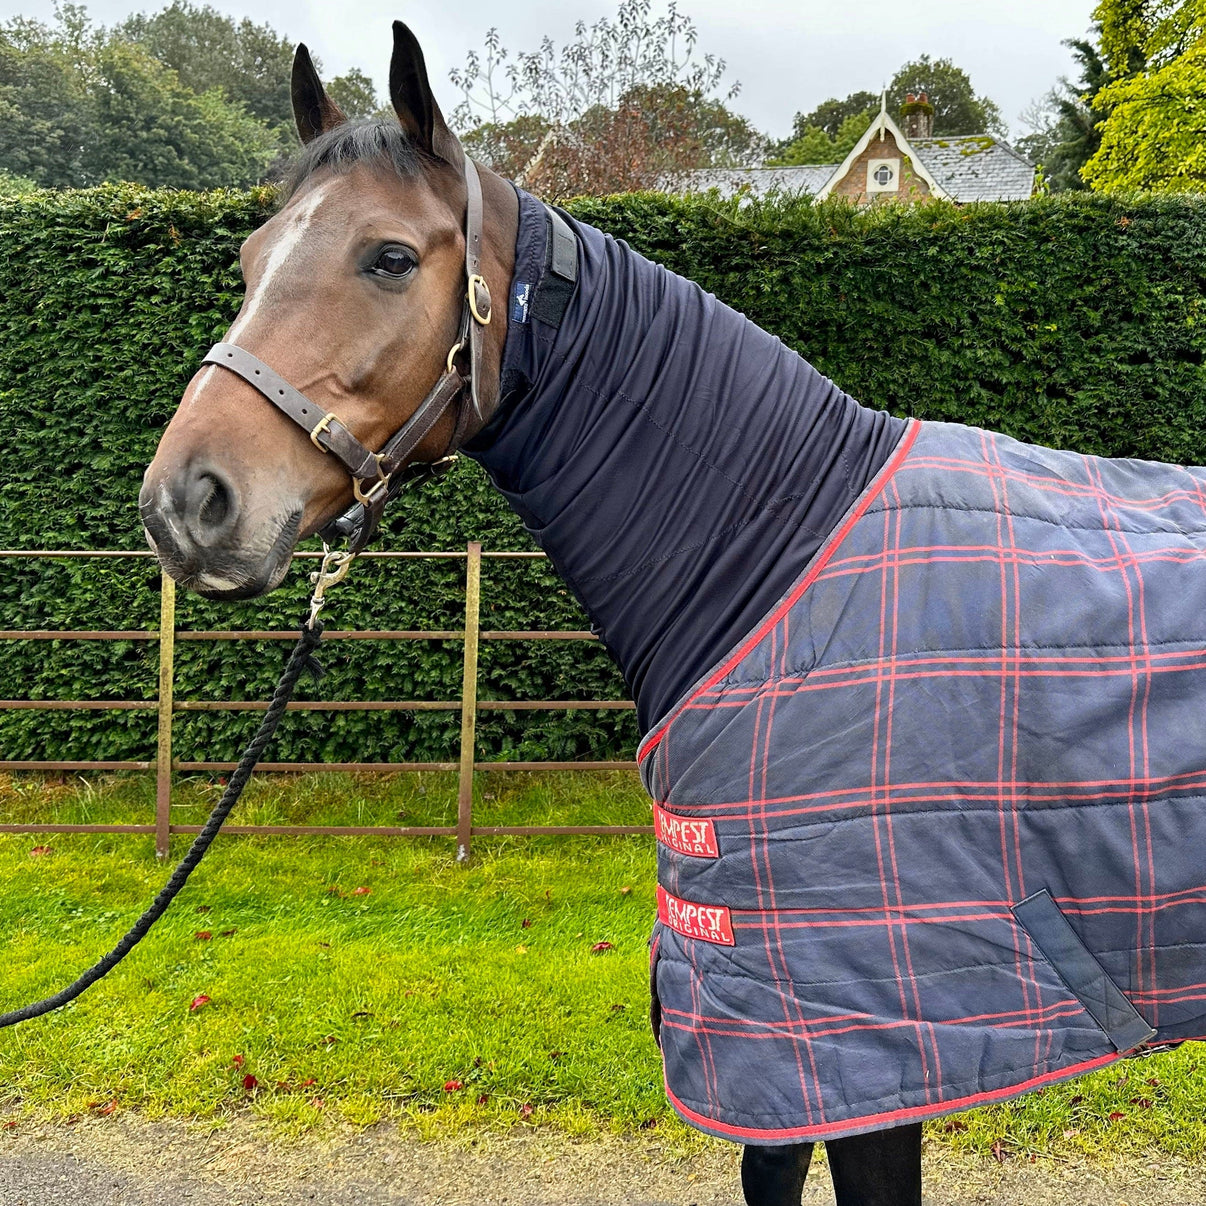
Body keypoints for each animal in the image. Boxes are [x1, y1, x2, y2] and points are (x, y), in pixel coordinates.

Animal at [140, 22, 1206, 1206]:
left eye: (390, 257)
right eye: (249, 260)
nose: (186, 502)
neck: (774, 565)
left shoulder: (864, 1042)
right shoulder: (780, 1044)